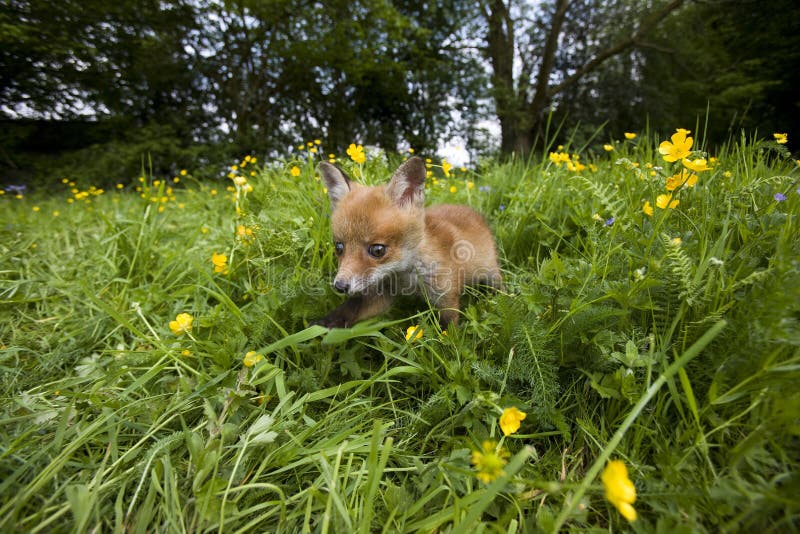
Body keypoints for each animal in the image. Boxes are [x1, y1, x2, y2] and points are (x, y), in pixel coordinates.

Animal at [312, 156, 502, 329]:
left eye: (378, 250)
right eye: (339, 247)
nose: (340, 286)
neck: (405, 277)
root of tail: (471, 211)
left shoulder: (446, 296)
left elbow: (449, 330)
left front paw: (450, 342)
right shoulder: (381, 294)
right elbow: (351, 309)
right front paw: (321, 326)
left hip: (490, 273)